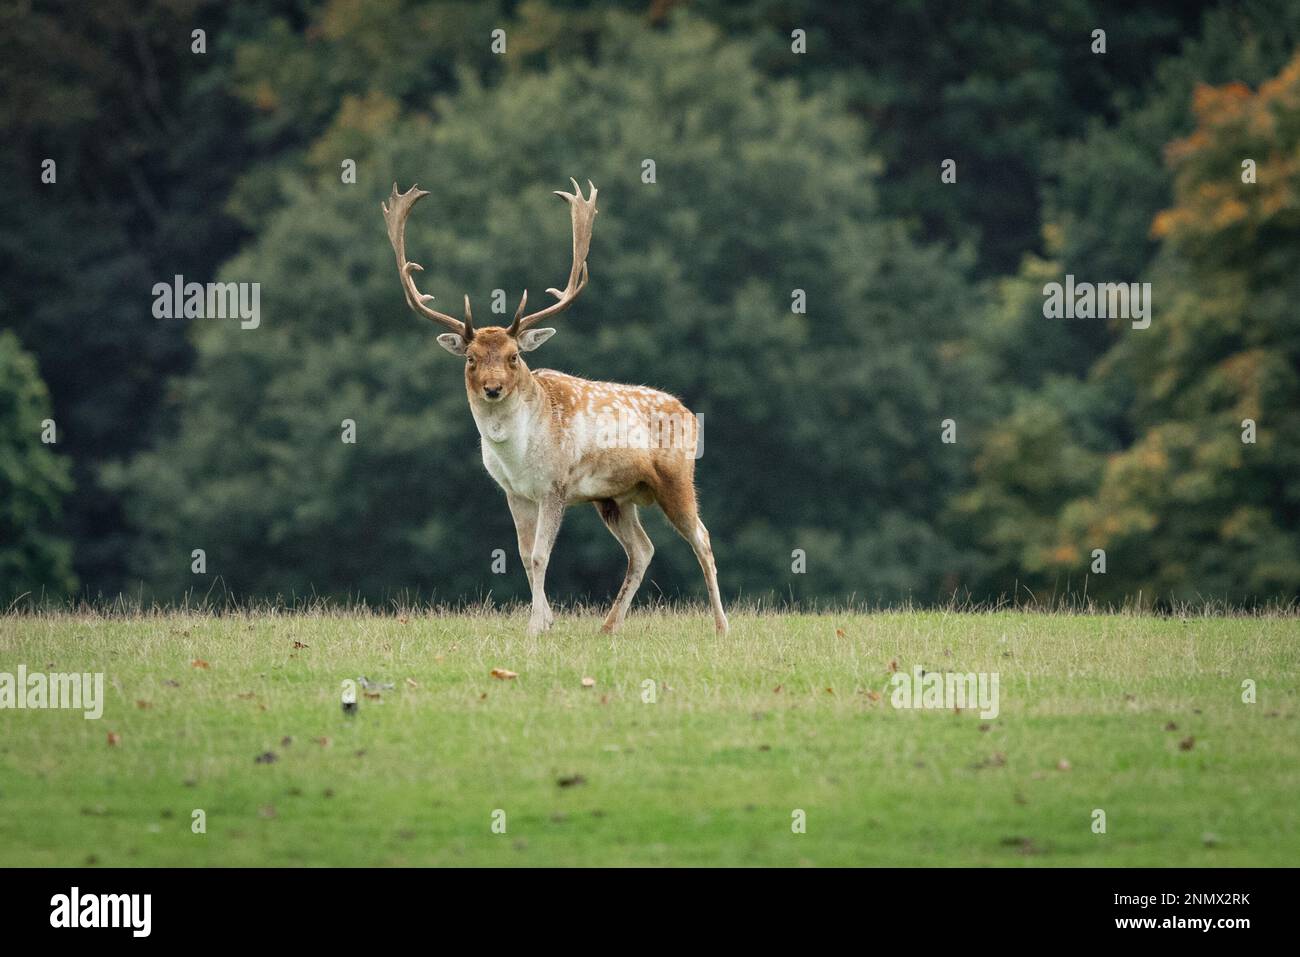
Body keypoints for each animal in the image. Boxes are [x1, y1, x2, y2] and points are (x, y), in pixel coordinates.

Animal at [381, 178, 728, 637]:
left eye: (514, 356)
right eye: (470, 358)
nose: (492, 388)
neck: (520, 453)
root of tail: (689, 412)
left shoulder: (556, 485)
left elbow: (541, 555)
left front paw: (535, 627)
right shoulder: (513, 492)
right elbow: (525, 556)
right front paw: (545, 621)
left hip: (676, 476)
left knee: (702, 538)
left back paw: (722, 627)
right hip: (615, 497)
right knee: (643, 548)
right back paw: (608, 626)